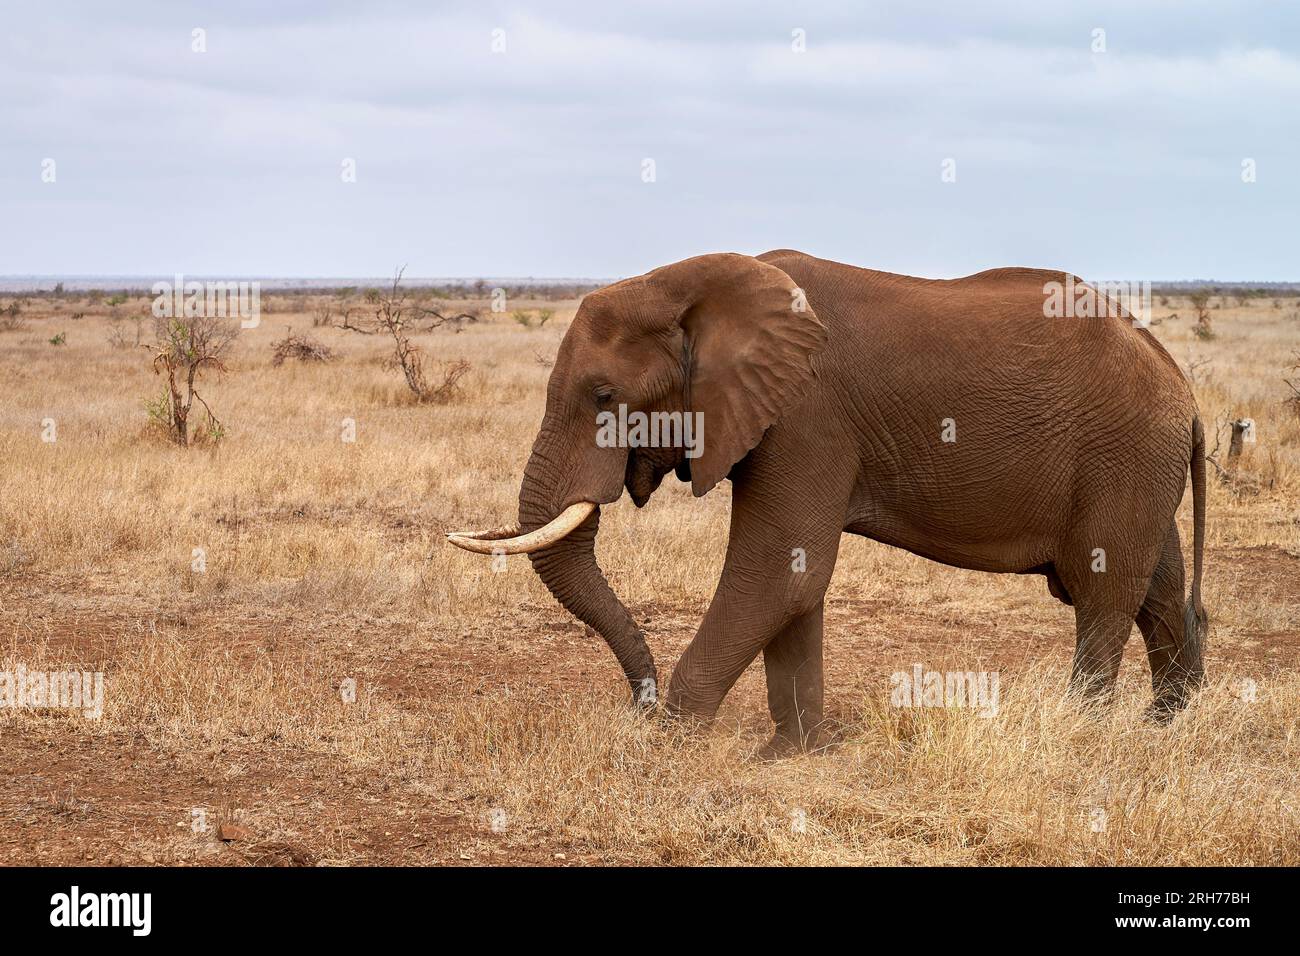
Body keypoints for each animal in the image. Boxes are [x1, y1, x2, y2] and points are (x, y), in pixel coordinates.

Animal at [448, 250, 1208, 756]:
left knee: (1101, 591)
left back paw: (1085, 732)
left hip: (1123, 455)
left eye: (604, 395)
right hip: (1141, 466)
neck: (697, 286)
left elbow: (775, 573)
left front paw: (672, 744)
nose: (642, 700)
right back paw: (1168, 725)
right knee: (1158, 590)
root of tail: (1181, 383)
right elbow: (795, 576)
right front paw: (791, 752)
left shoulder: (806, 418)